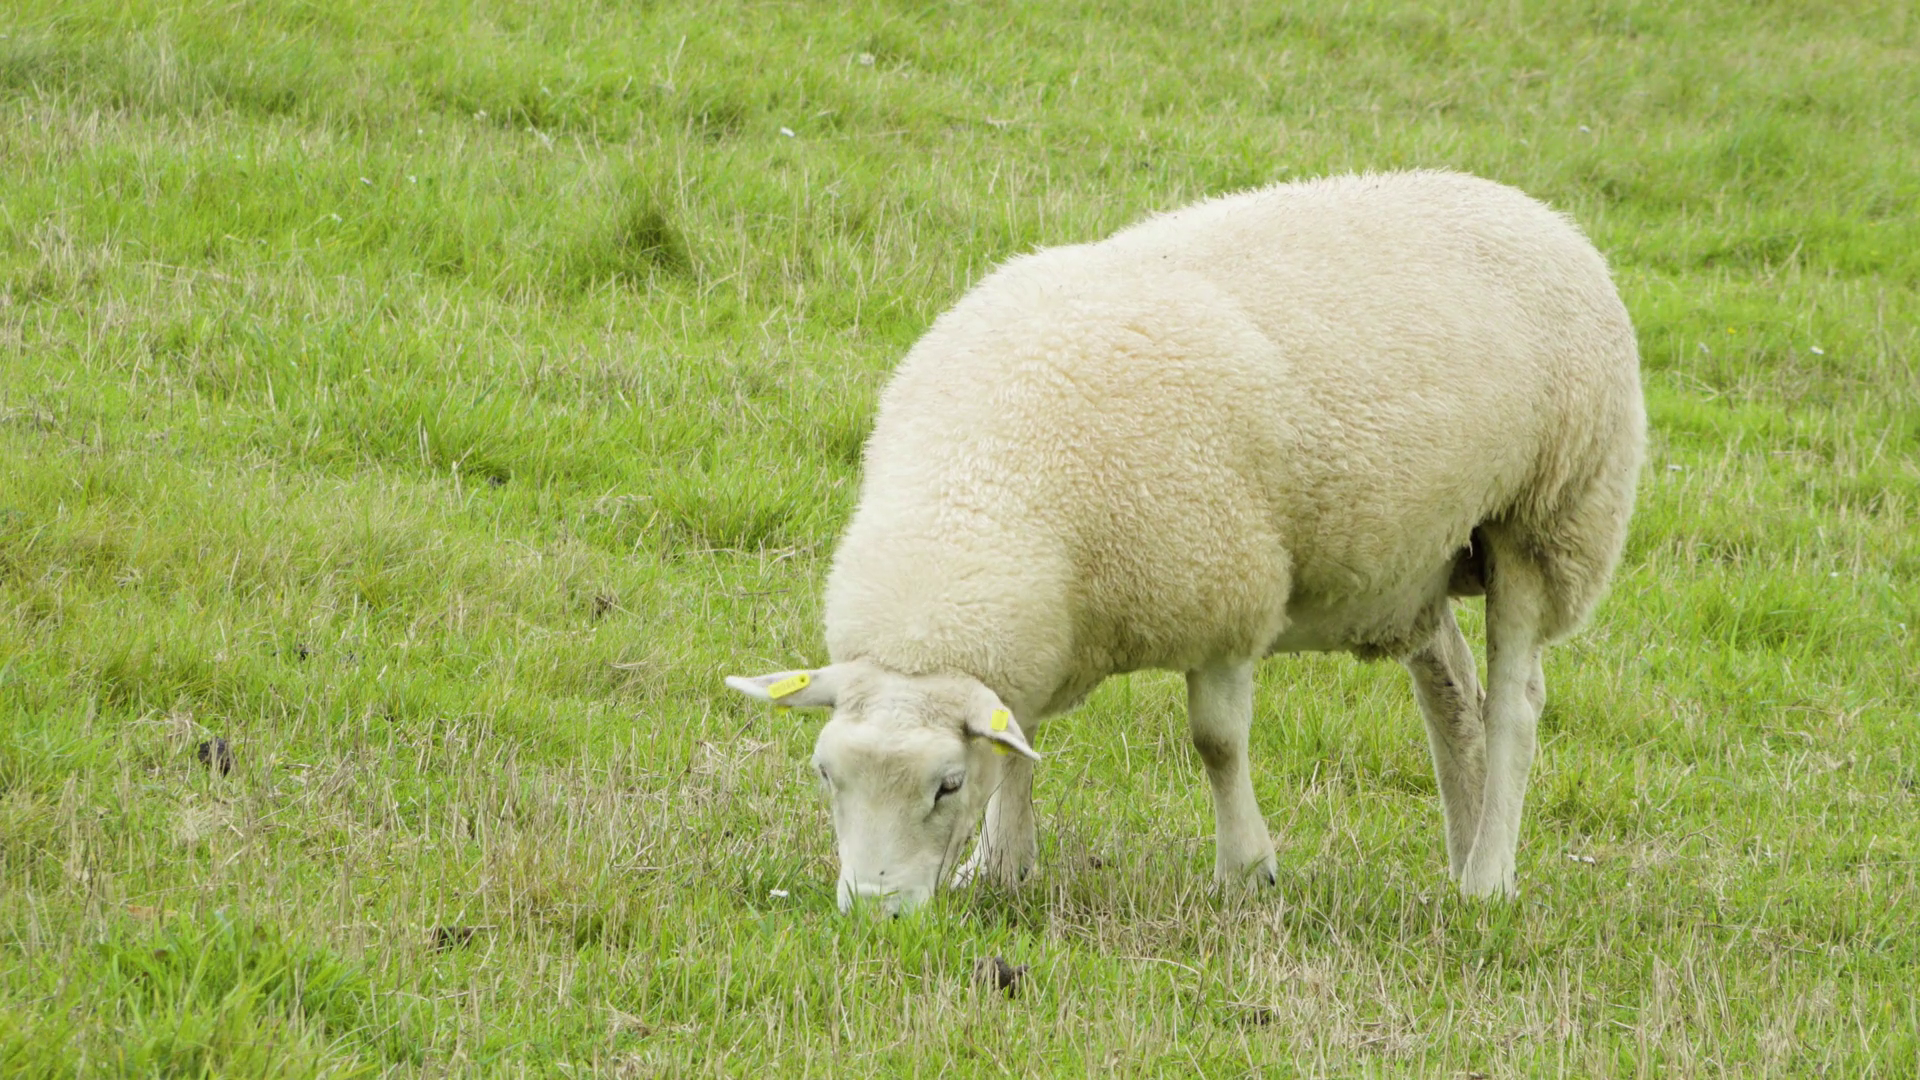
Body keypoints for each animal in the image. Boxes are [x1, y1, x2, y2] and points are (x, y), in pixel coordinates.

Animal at [729, 170, 1644, 914]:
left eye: (946, 786)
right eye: (825, 774)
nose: (874, 914)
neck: (982, 488)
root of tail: (1533, 208)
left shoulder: (1229, 592)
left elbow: (1216, 743)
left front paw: (1247, 871)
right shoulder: (1044, 632)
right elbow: (1022, 743)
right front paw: (1001, 866)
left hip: (1547, 514)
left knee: (1514, 707)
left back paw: (1488, 880)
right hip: (1420, 556)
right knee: (1452, 694)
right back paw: (1463, 854)